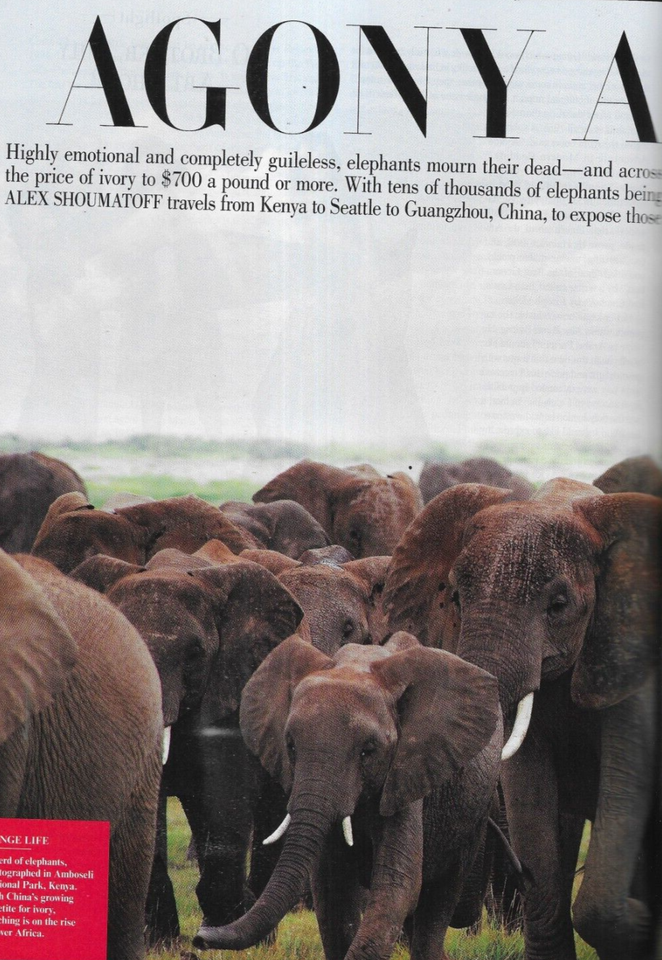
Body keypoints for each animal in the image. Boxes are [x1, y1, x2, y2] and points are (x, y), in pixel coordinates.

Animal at [68, 547, 304, 945]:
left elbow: (225, 794)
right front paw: (161, 942)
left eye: (194, 654)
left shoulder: (233, 679)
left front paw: (217, 933)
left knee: (269, 809)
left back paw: (257, 934)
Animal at [194, 632, 502, 960]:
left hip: (473, 812)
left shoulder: (407, 770)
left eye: (368, 751)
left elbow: (397, 885)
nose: (200, 938)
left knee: (438, 901)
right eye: (291, 746)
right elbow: (331, 890)